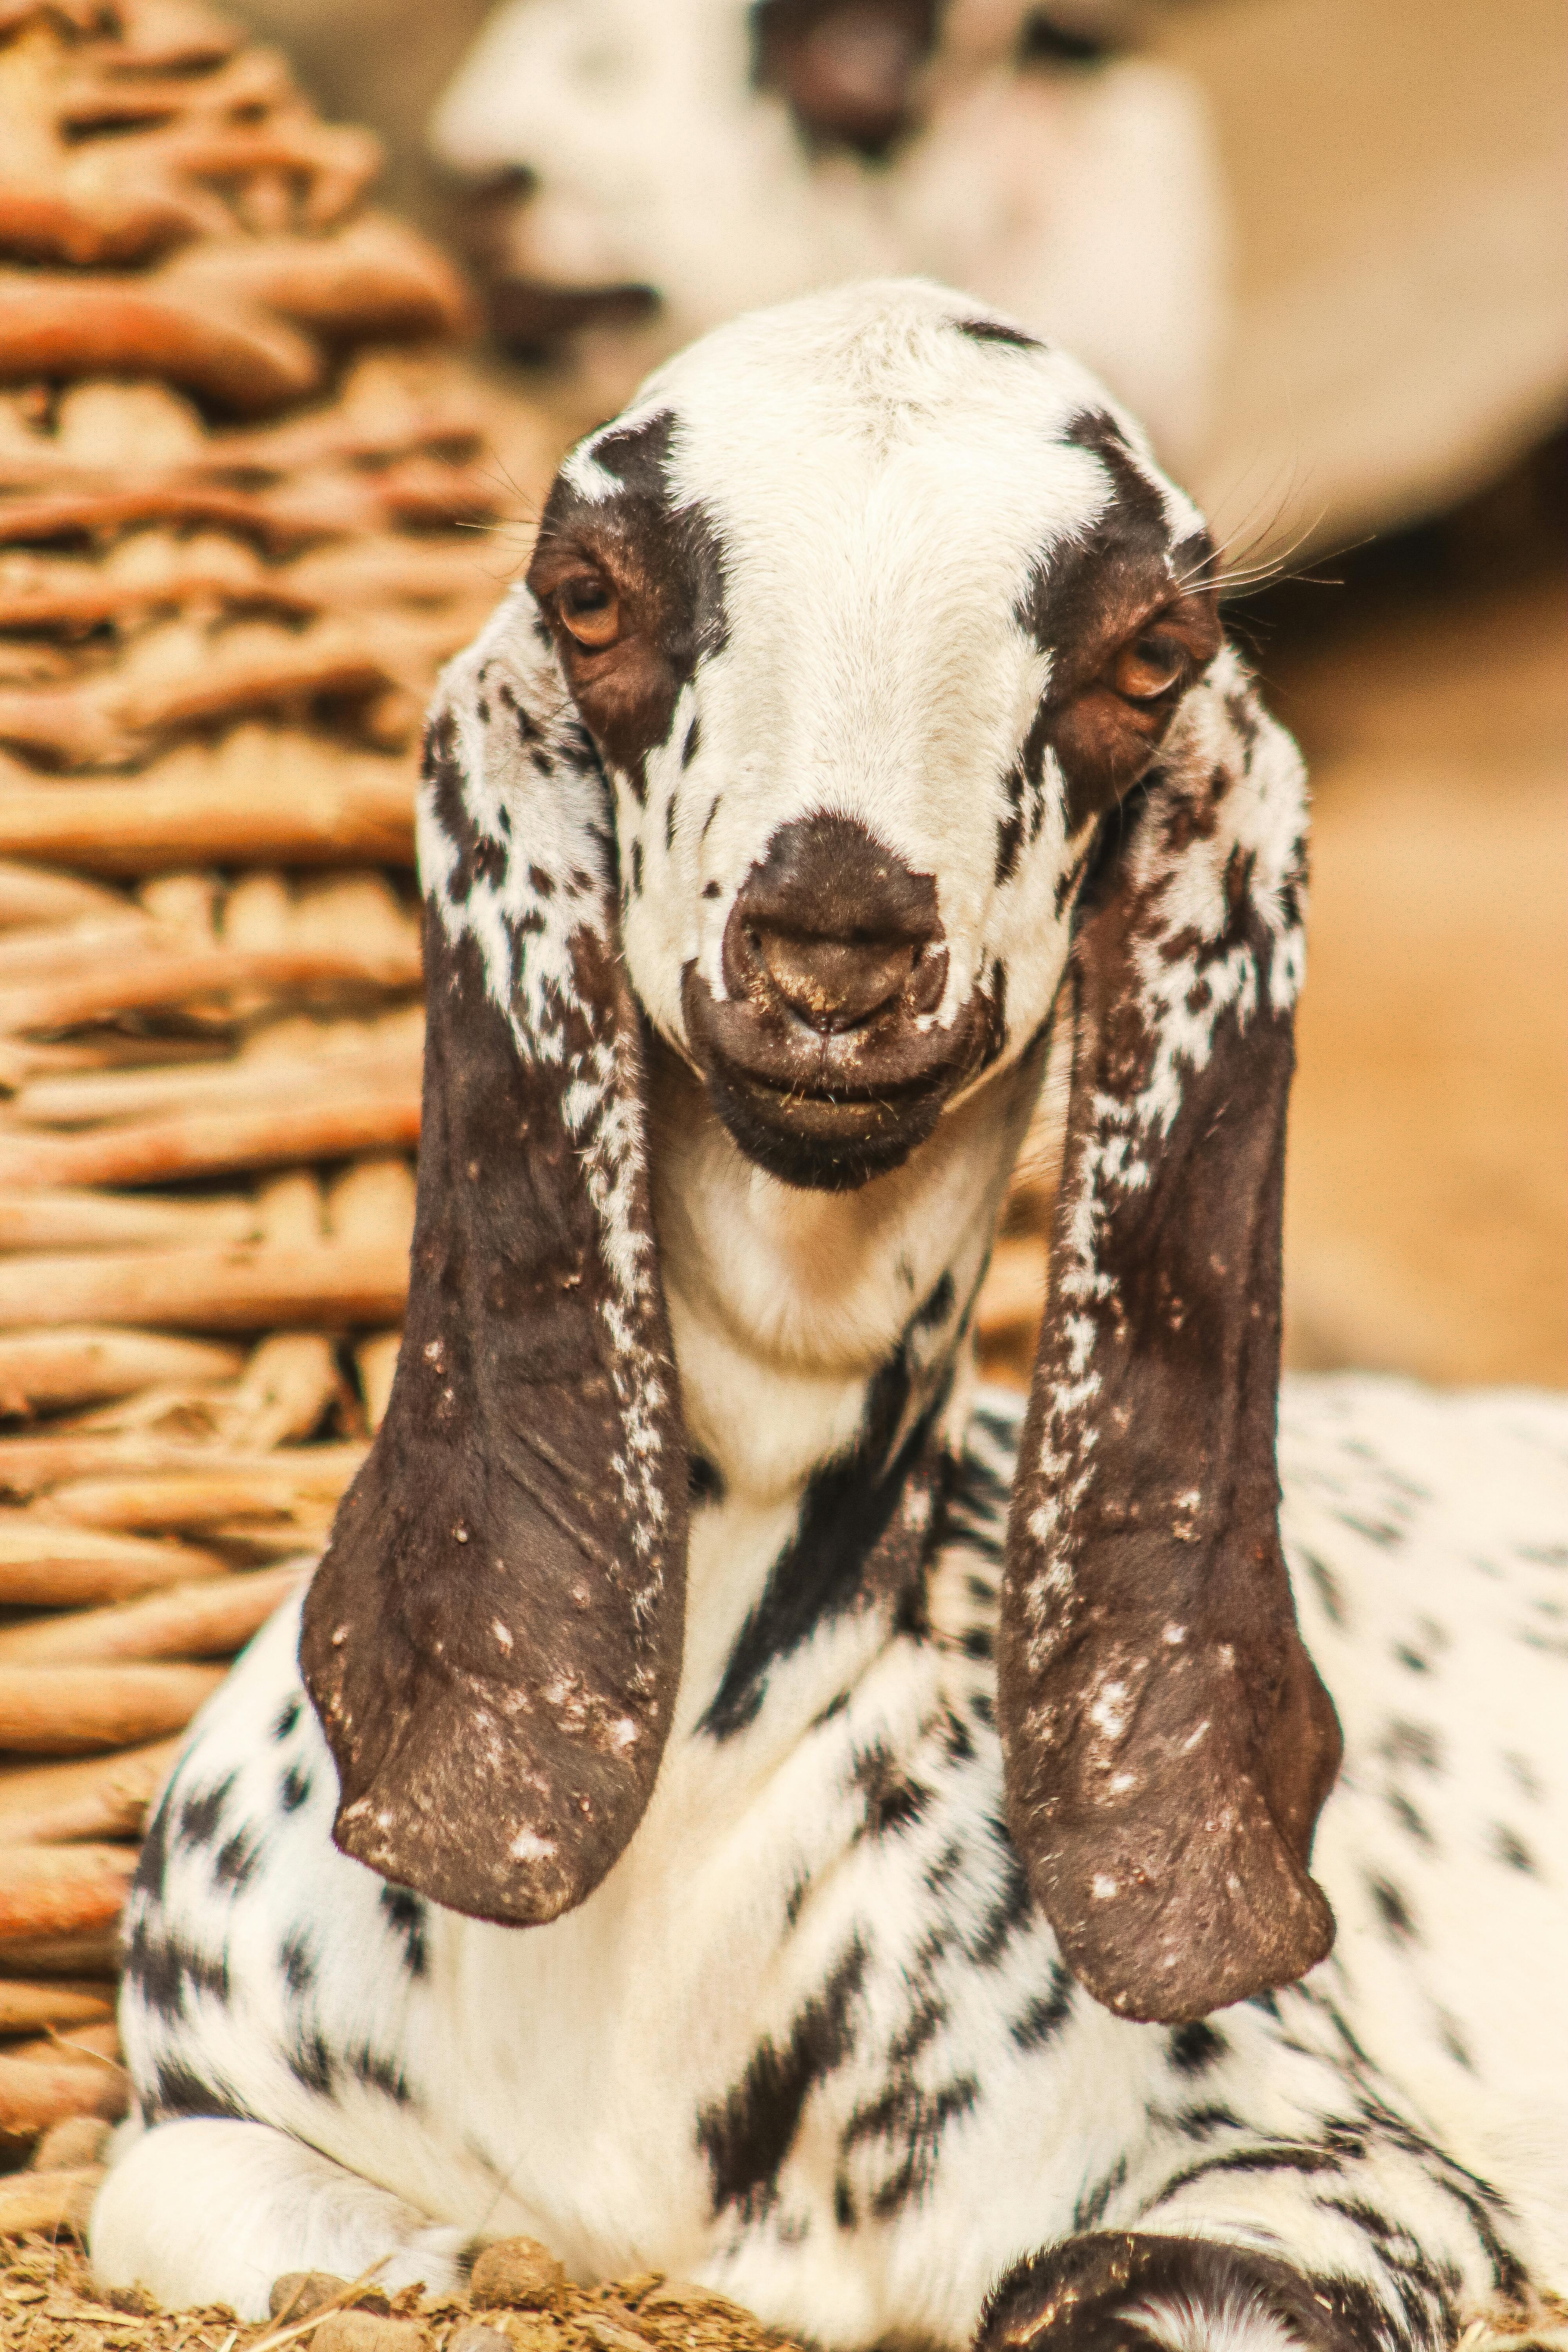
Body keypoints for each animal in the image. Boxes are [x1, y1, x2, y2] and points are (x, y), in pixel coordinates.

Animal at [93, 280, 1567, 2350]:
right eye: (590, 591)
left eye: (1153, 647)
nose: (834, 944)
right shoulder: (201, 2121)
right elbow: (245, 2216)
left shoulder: (1337, 2177)